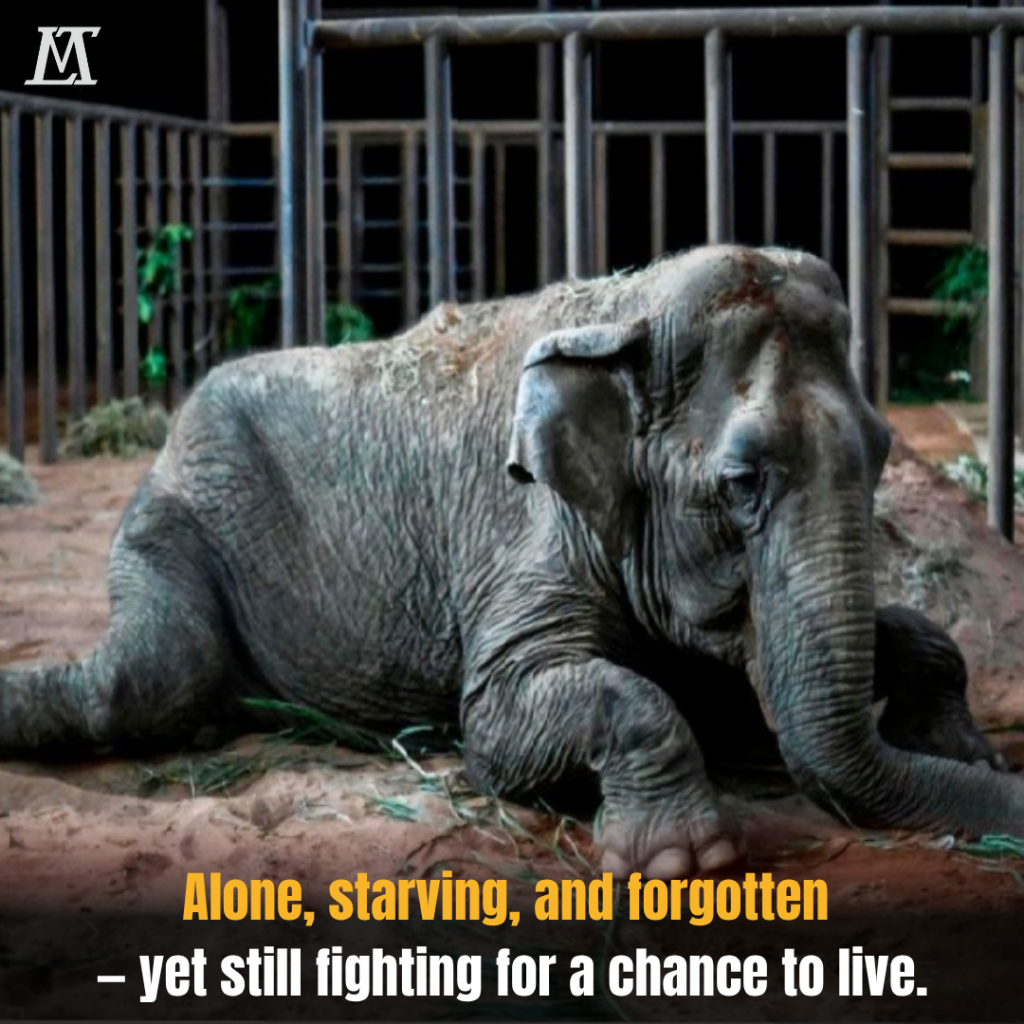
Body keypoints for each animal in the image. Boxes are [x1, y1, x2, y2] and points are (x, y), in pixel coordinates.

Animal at [0, 244, 1018, 879]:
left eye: (882, 452)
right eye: (741, 483)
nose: (1009, 798)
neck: (629, 309)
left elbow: (828, 656)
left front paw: (966, 751)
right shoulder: (525, 529)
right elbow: (501, 718)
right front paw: (679, 863)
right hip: (177, 510)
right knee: (149, 677)